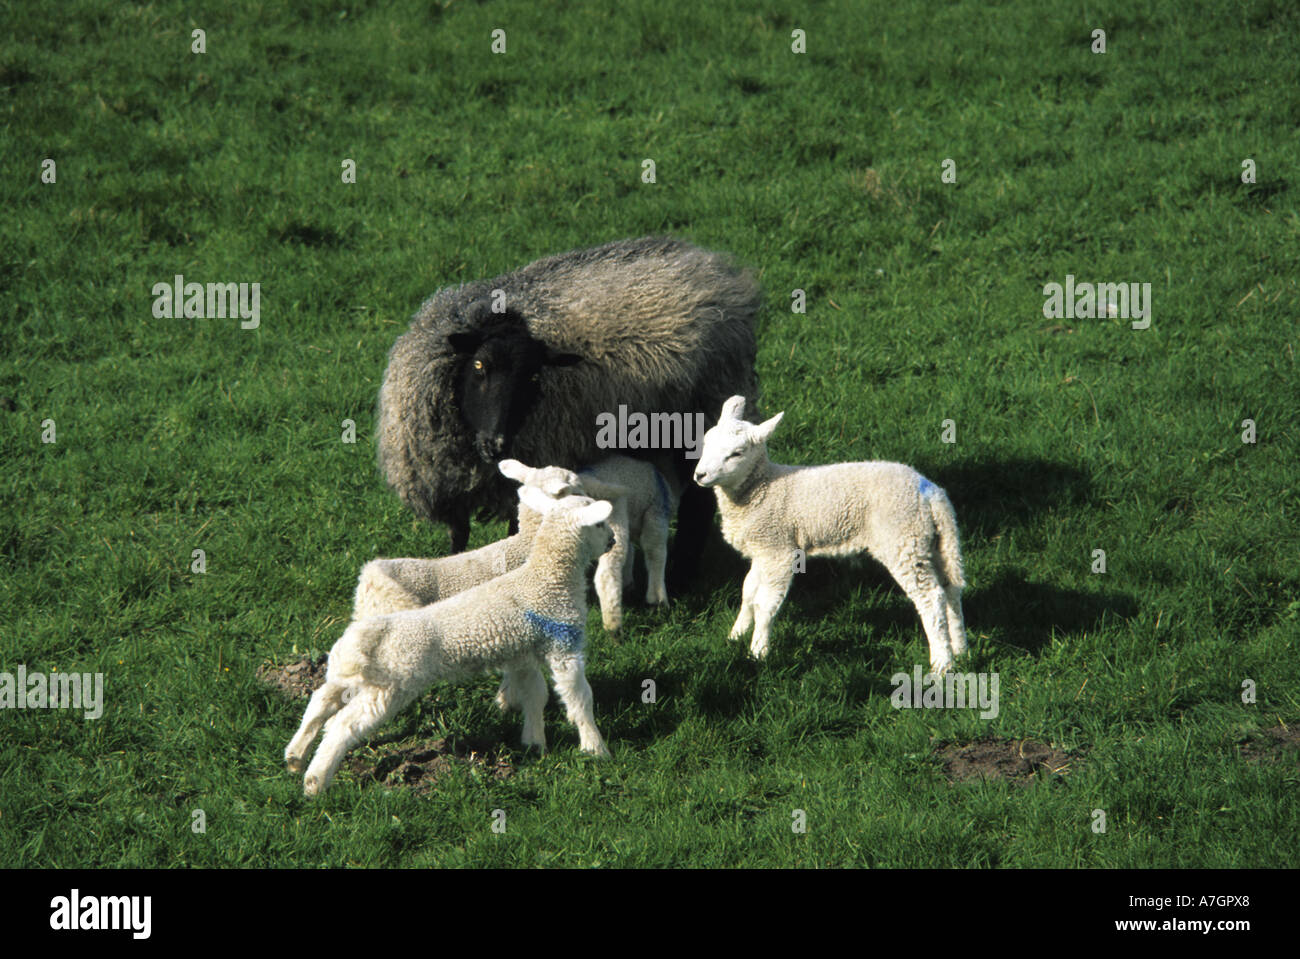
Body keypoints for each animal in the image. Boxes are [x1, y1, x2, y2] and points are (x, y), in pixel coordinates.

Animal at [285, 487, 615, 796]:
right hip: (392, 683)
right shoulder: (565, 645)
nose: (612, 541)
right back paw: (316, 781)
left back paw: (295, 755)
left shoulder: (523, 651)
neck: (547, 578)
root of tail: (368, 634)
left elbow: (536, 696)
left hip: (358, 673)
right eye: (599, 524)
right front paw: (595, 748)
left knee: (322, 699)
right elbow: (579, 698)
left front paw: (534, 743)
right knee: (345, 723)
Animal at [374, 236, 760, 587]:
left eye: (533, 377)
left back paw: (681, 576)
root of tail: (716, 271)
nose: (496, 443)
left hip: (700, 414)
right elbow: (458, 540)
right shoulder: (450, 489)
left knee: (699, 501)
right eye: (479, 366)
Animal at [692, 396, 968, 673]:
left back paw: (941, 663)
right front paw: (735, 636)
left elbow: (765, 603)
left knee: (931, 597)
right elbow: (748, 592)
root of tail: (931, 492)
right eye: (706, 442)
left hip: (903, 539)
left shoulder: (778, 549)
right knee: (951, 589)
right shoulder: (763, 548)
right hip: (932, 541)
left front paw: (758, 652)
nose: (699, 475)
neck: (762, 488)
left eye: (737, 454)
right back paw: (959, 649)